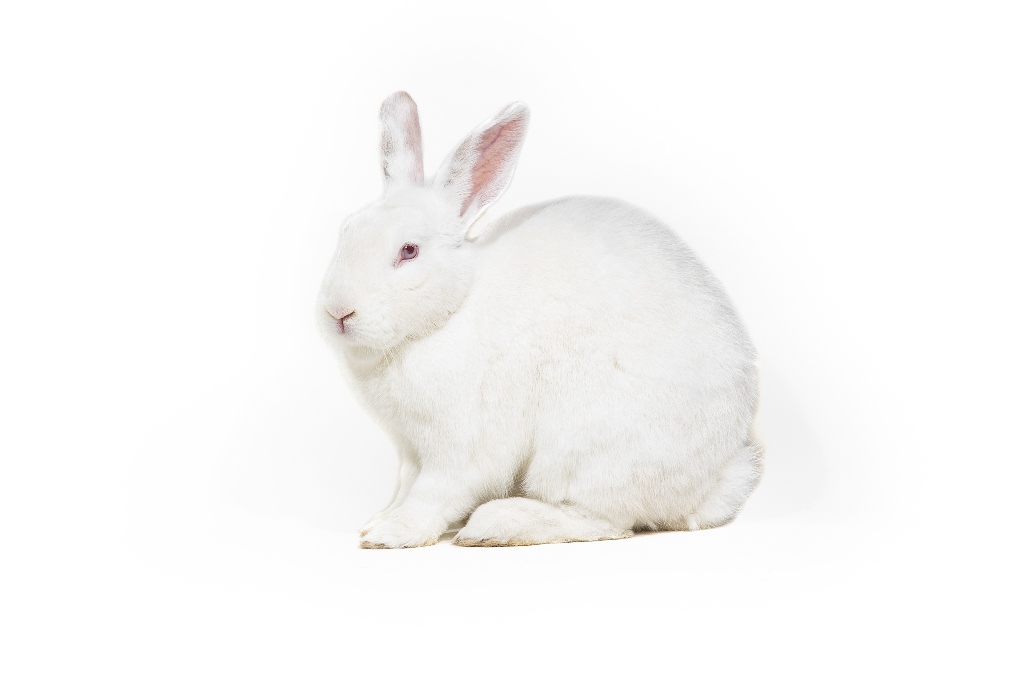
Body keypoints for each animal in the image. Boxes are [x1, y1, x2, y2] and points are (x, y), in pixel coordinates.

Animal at [316, 91, 763, 548]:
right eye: (346, 229)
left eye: (409, 251)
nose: (337, 311)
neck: (450, 312)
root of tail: (713, 483)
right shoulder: (408, 448)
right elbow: (406, 484)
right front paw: (376, 520)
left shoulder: (462, 445)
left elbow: (434, 493)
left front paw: (390, 534)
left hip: (582, 448)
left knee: (605, 521)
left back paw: (495, 524)